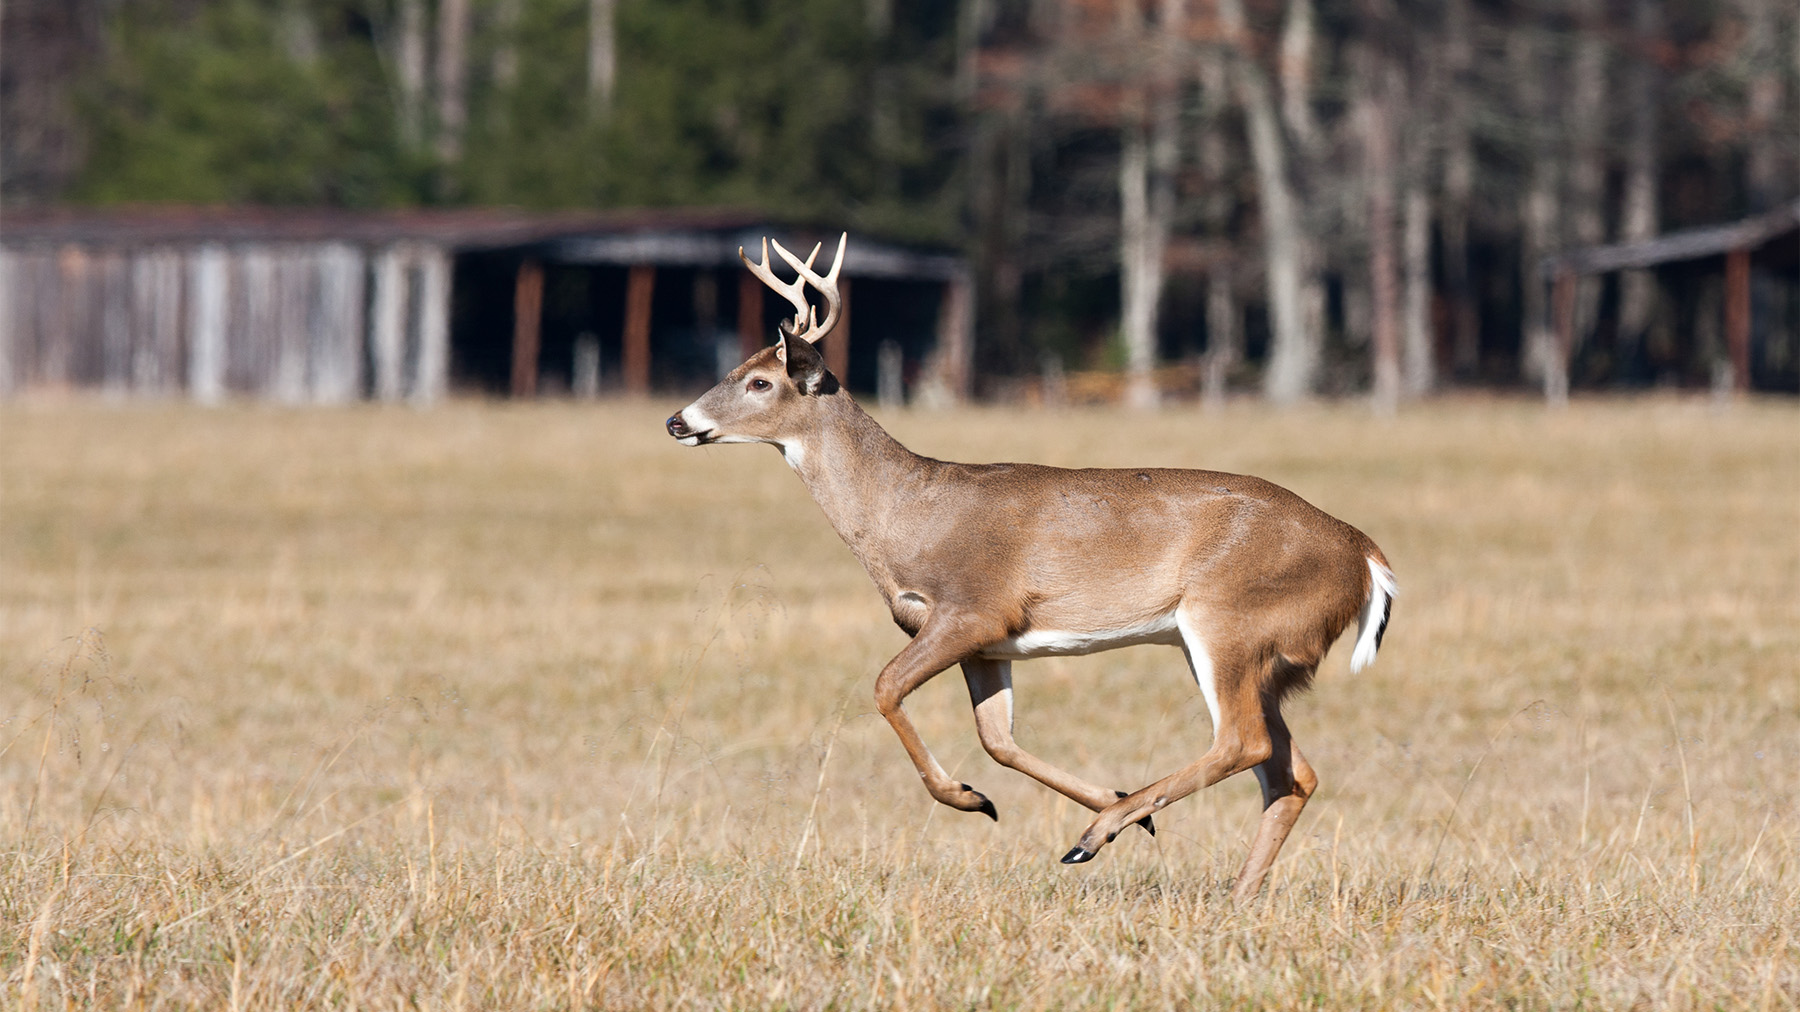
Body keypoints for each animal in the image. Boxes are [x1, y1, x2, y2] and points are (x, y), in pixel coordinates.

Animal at [665, 235, 1396, 900]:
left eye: (760, 381)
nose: (677, 420)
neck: (904, 511)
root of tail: (1364, 552)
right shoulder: (986, 645)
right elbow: (998, 739)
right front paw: (1036, 796)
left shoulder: (973, 609)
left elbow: (885, 687)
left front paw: (974, 798)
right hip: (1259, 655)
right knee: (1291, 770)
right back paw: (1224, 886)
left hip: (1232, 622)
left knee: (1244, 744)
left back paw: (1095, 838)